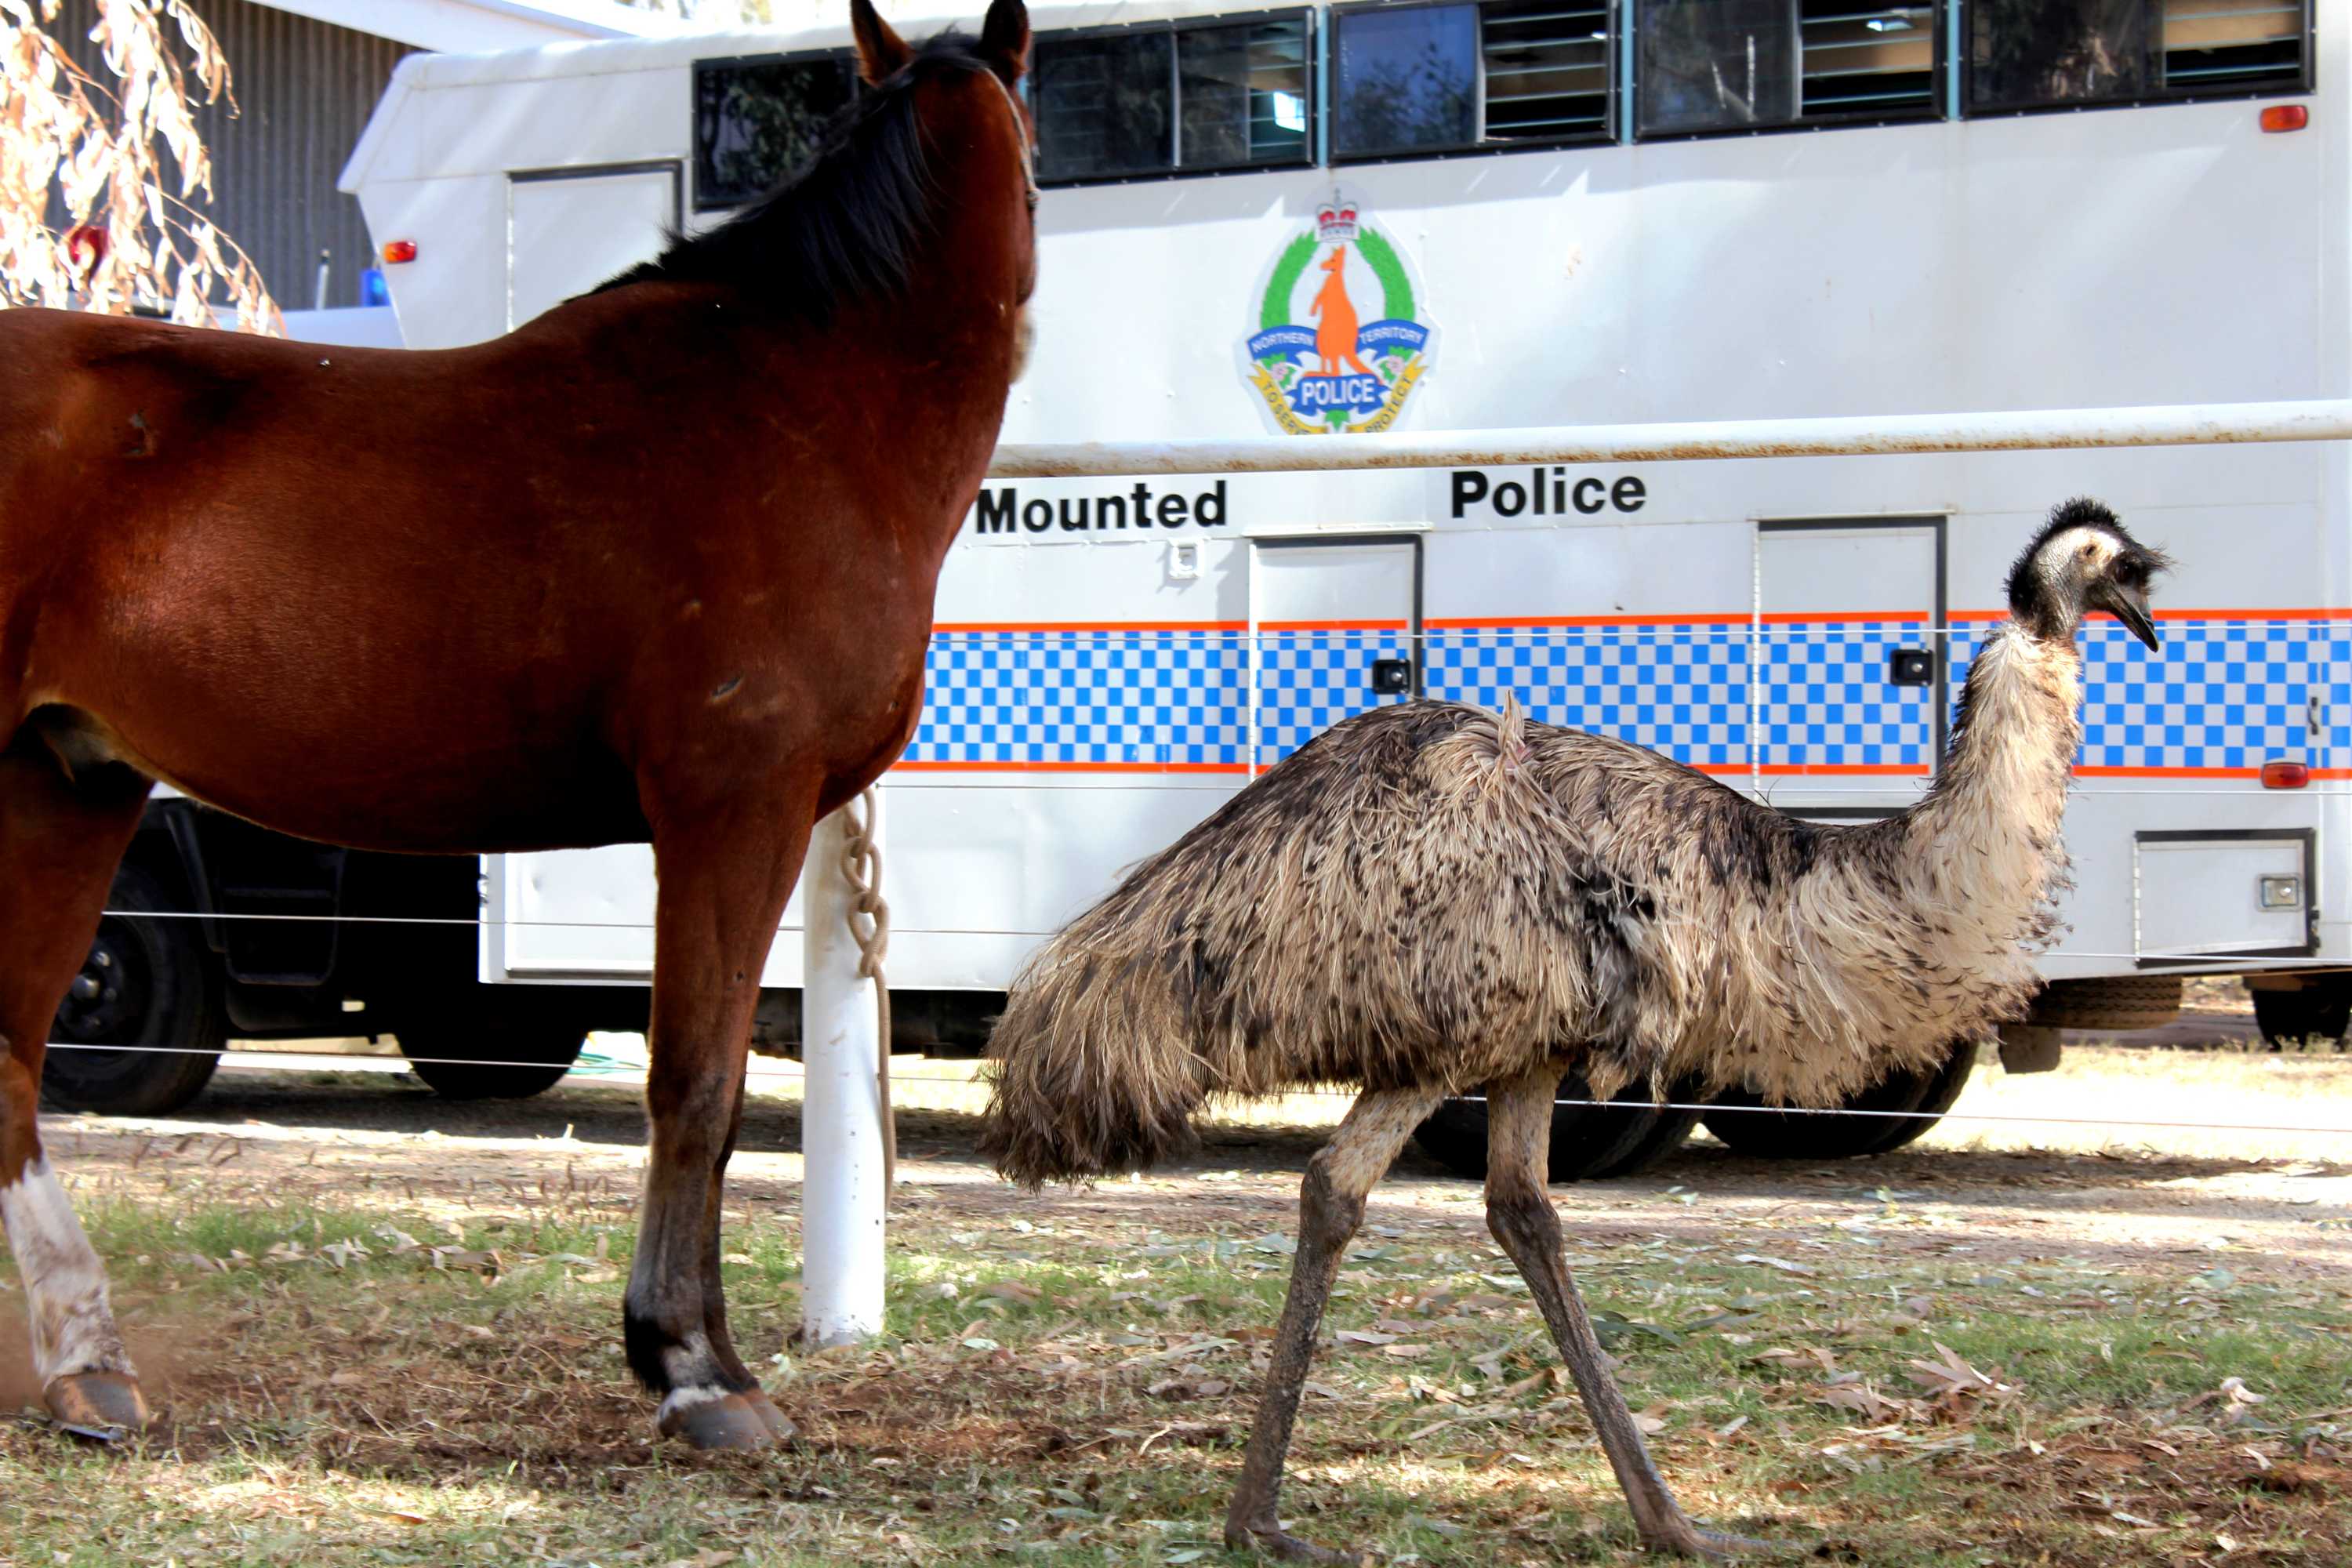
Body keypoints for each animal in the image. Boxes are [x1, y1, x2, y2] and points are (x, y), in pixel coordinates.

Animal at [0, 0, 1035, 1451]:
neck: (806, 397)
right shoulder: (733, 807)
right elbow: (697, 1083)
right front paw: (698, 1370)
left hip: (67, 785)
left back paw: (89, 1364)